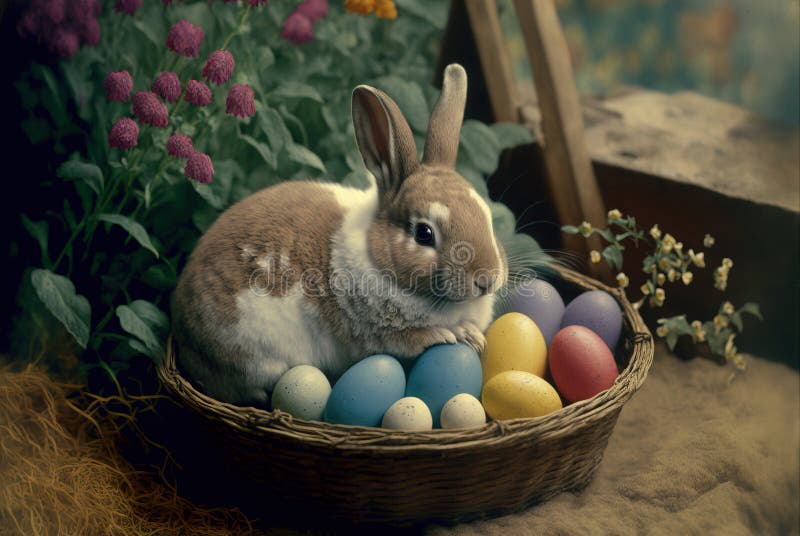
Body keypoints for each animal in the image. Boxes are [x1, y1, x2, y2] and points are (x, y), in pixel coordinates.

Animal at [171, 64, 508, 406]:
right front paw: (454, 334)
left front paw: (473, 336)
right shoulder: (380, 335)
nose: (487, 280)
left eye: (486, 214)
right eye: (424, 234)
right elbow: (409, 339)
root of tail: (183, 330)